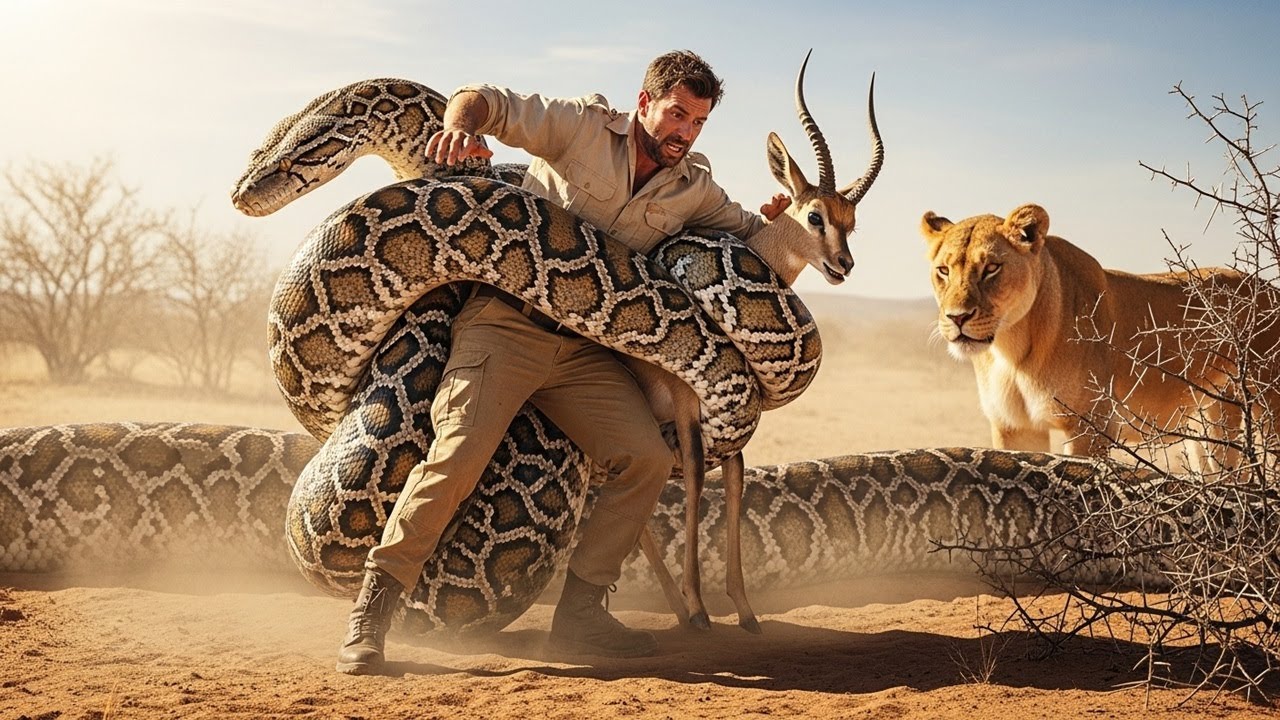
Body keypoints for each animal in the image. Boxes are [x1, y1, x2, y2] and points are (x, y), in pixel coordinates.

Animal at [632, 51, 884, 633]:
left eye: (852, 223)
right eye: (814, 215)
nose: (844, 265)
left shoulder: (738, 422)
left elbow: (735, 484)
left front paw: (743, 610)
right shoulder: (687, 405)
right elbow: (696, 481)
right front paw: (700, 606)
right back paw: (676, 606)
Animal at [920, 202, 1280, 468]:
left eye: (992, 268)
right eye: (943, 271)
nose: (957, 317)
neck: (1011, 351)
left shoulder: (1088, 426)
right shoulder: (1015, 428)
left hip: (1269, 409)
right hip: (1211, 423)